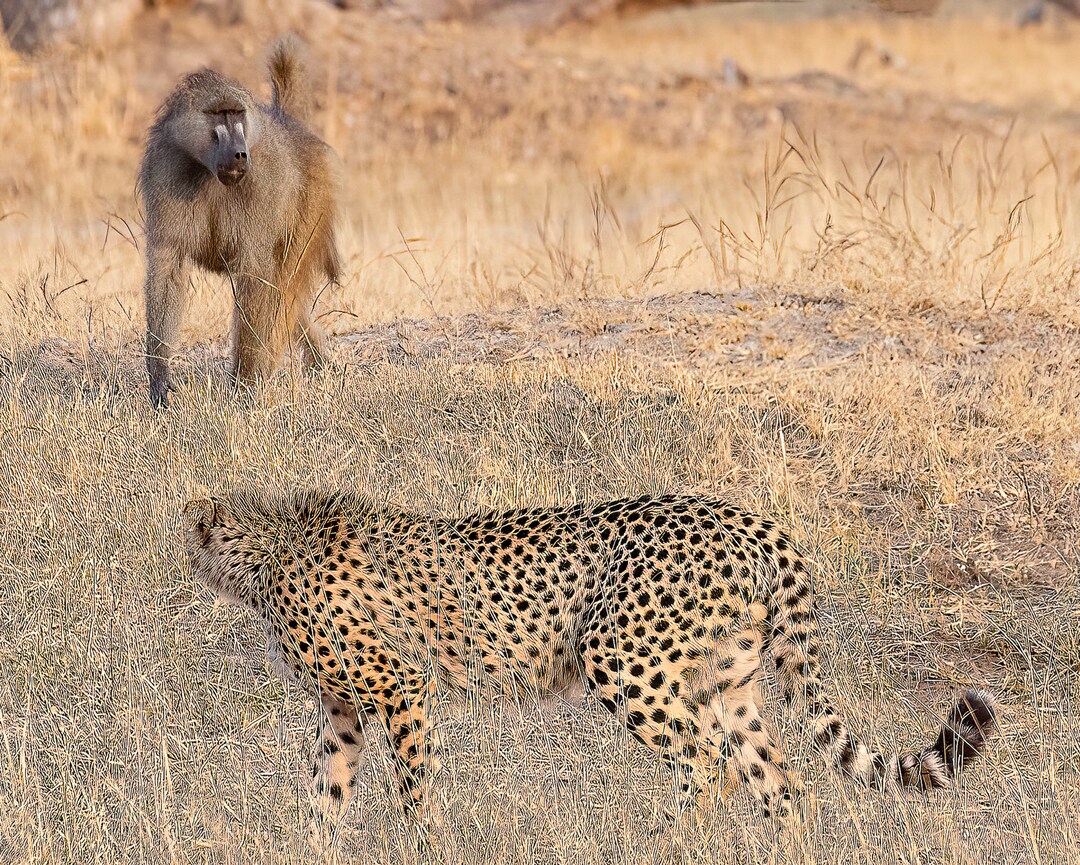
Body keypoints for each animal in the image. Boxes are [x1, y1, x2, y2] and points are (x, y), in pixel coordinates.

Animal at [140, 35, 342, 408]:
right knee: (289, 299)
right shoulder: (166, 169)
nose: (239, 153)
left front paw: (246, 385)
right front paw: (159, 378)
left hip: (313, 203)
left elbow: (255, 275)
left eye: (237, 114)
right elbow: (168, 267)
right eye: (219, 114)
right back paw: (321, 363)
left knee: (285, 285)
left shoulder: (261, 184)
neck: (207, 172)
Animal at [182, 491, 997, 835]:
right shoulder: (345, 708)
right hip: (727, 682)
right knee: (777, 776)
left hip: (625, 662)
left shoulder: (402, 686)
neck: (267, 547)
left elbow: (414, 791)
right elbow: (325, 791)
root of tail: (746, 515)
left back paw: (671, 846)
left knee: (708, 764)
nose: (180, 554)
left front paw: (424, 839)